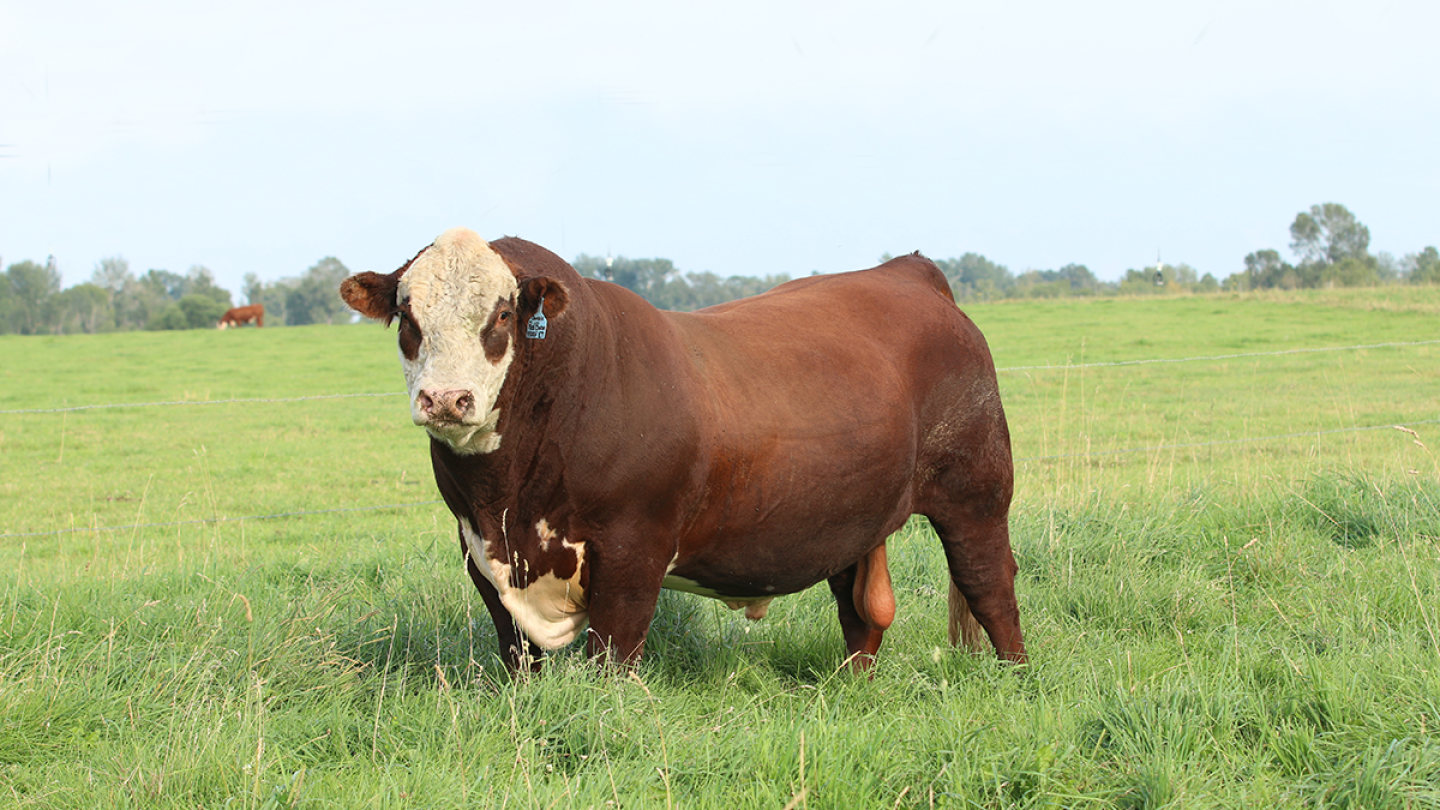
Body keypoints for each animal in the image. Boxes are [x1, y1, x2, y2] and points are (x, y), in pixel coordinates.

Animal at [340, 228, 1025, 673]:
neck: (509, 495)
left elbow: (612, 659)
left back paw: (1015, 677)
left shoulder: (632, 550)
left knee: (989, 584)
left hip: (976, 490)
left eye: (504, 315)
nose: (445, 398)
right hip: (851, 515)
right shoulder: (480, 551)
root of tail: (906, 272)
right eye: (407, 315)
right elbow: (516, 657)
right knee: (861, 614)